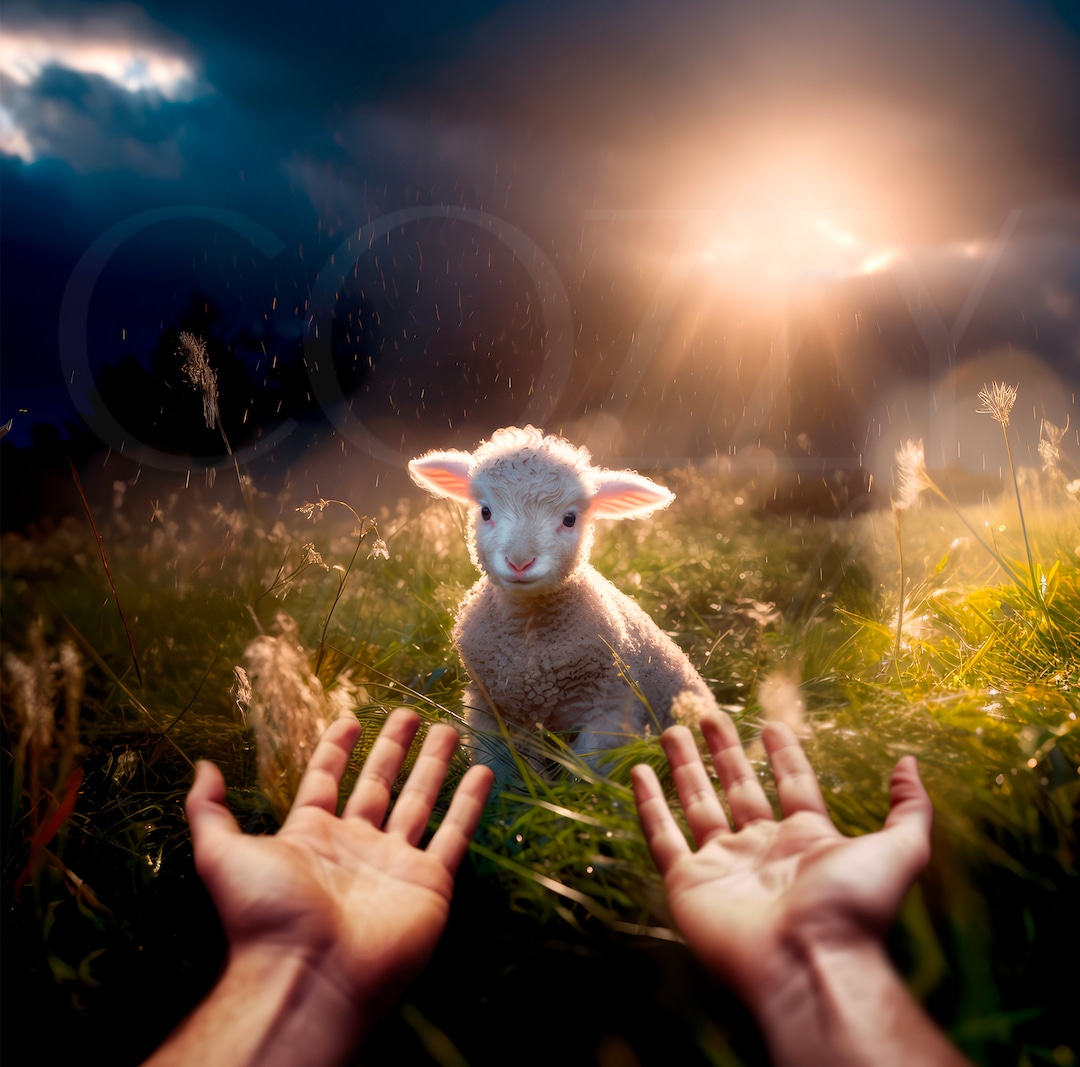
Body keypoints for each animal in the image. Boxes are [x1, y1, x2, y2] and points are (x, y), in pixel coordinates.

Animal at [408, 425, 718, 774]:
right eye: (485, 511)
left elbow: (588, 771)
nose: (519, 562)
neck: (528, 638)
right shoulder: (489, 707)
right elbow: (499, 769)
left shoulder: (609, 709)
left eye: (570, 519)